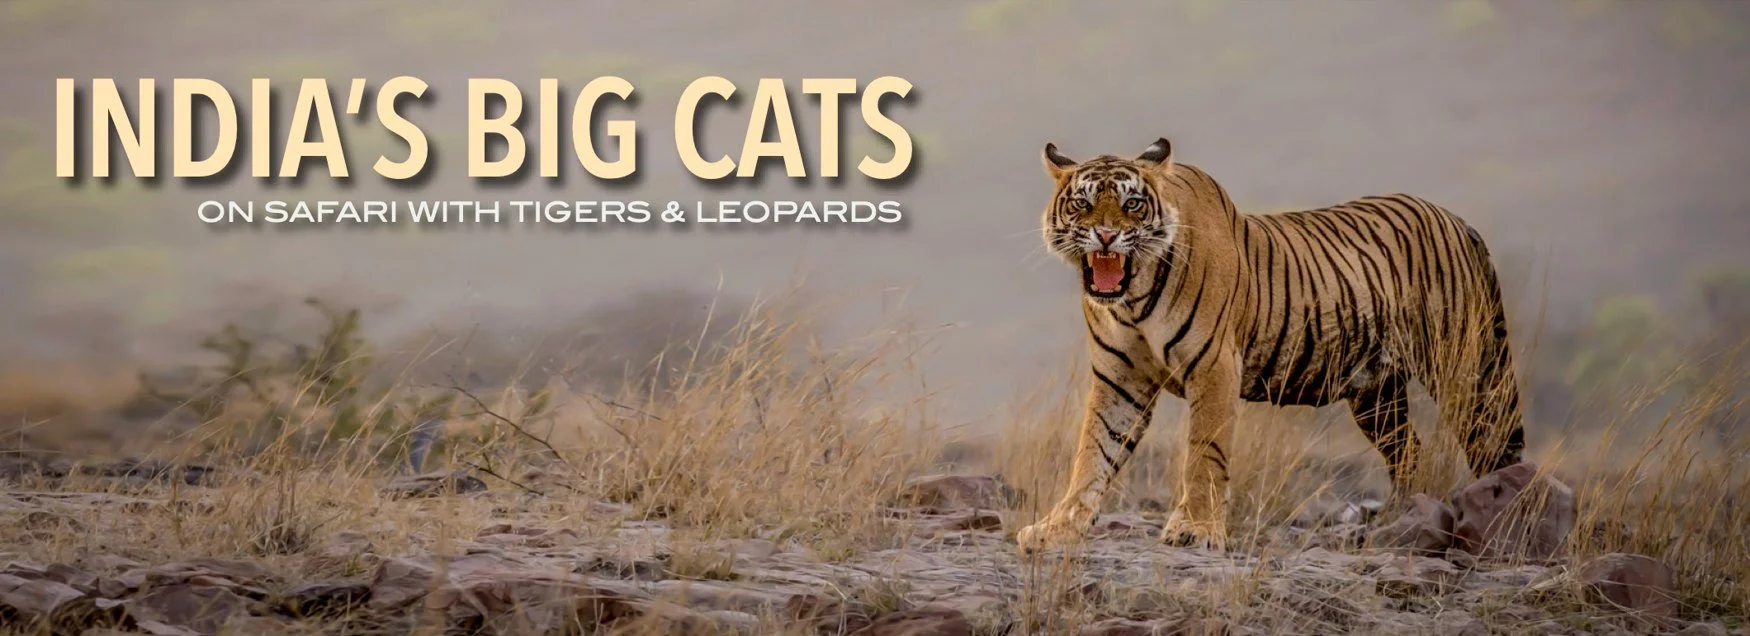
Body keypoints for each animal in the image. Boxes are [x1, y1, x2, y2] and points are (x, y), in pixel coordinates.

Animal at [1016, 137, 1526, 554]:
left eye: (1134, 204)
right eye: (1082, 204)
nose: (1105, 235)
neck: (1132, 301)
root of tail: (1457, 220)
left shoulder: (1214, 367)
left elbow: (1204, 453)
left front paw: (1197, 529)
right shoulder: (1119, 378)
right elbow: (1093, 454)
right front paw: (1057, 528)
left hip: (1467, 369)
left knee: (1495, 448)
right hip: (1377, 395)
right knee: (1410, 454)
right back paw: (1399, 519)